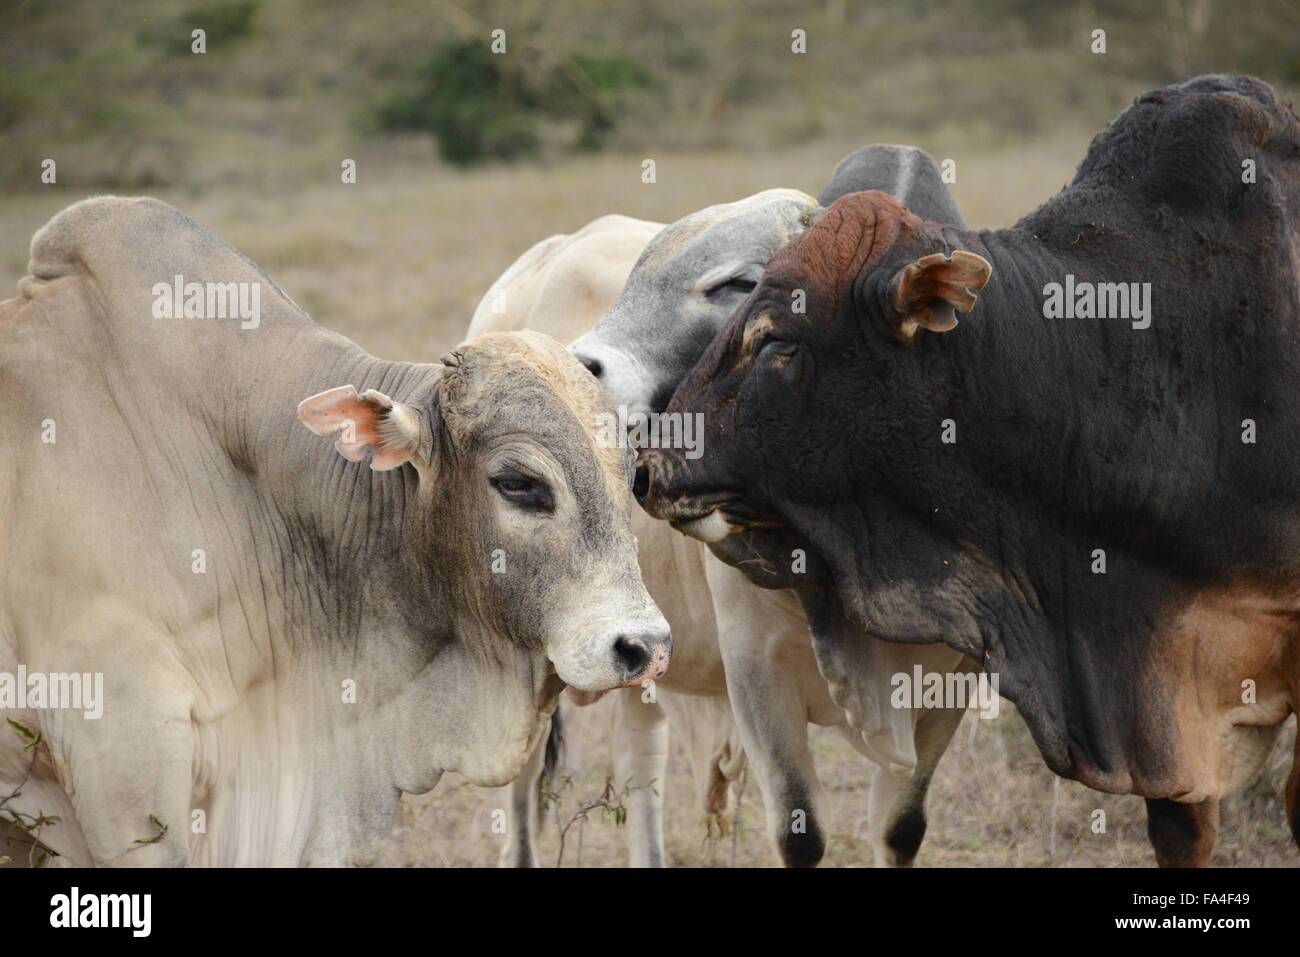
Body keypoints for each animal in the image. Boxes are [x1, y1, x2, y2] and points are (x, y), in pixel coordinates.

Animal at [483, 145, 975, 868]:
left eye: (740, 284)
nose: (572, 370)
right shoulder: (756, 676)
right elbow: (801, 831)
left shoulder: (950, 687)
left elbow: (900, 827)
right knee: (520, 785)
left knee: (641, 764)